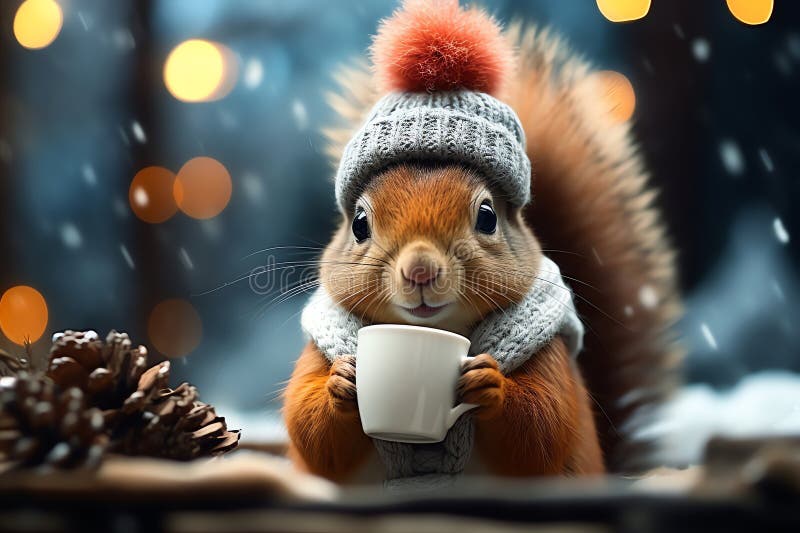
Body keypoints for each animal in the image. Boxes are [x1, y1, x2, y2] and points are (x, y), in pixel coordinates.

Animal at [283, 0, 681, 484]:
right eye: (359, 224)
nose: (420, 270)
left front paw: (491, 385)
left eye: (488, 217)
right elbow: (311, 432)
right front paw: (341, 383)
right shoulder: (319, 347)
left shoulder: (548, 353)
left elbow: (541, 428)